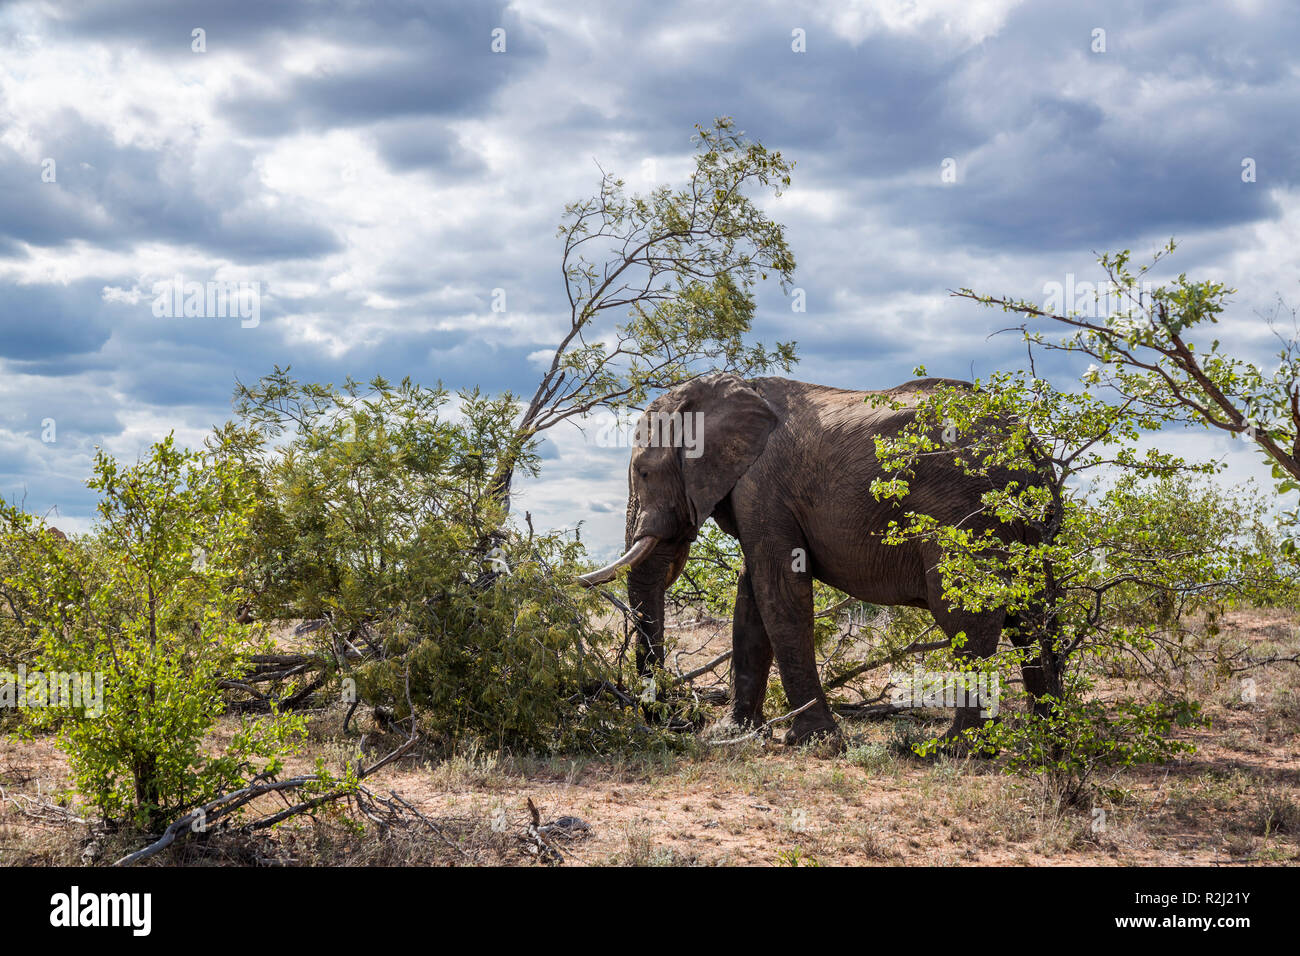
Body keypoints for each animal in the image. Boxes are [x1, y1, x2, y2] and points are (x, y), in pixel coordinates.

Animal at [579, 373, 1054, 747]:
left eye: (644, 473)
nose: (681, 720)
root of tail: (1030, 447)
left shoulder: (762, 484)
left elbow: (779, 591)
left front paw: (815, 740)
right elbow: (752, 597)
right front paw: (735, 733)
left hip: (968, 513)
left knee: (967, 613)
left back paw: (956, 748)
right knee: (1035, 616)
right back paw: (1050, 738)